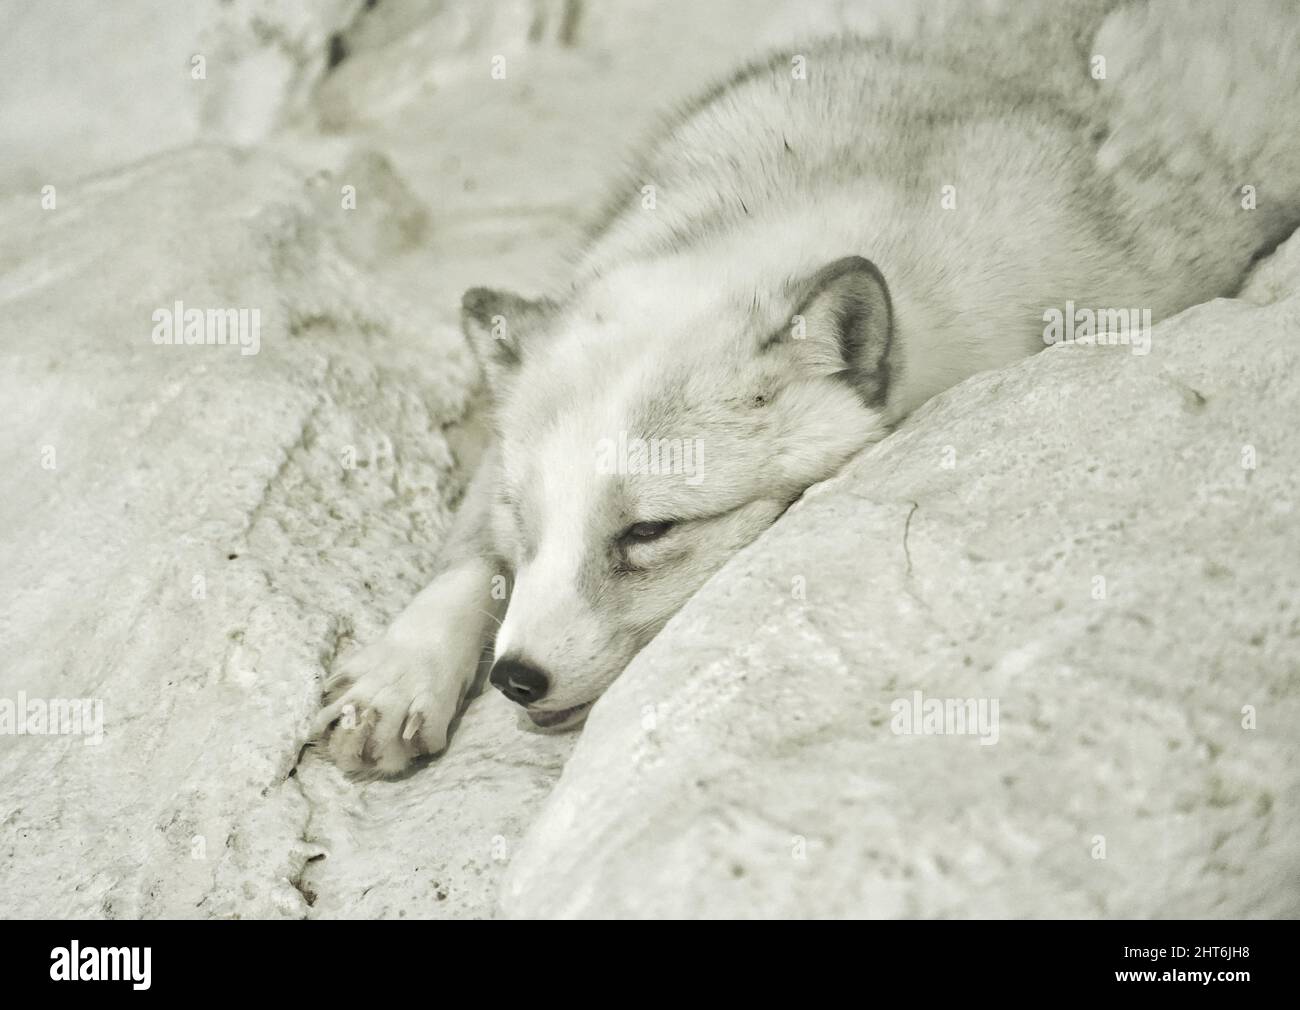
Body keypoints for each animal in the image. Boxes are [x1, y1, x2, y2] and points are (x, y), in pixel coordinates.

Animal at [317, 0, 1300, 775]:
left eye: (649, 532)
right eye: (529, 522)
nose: (516, 678)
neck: (811, 194)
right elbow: (466, 560)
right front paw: (400, 674)